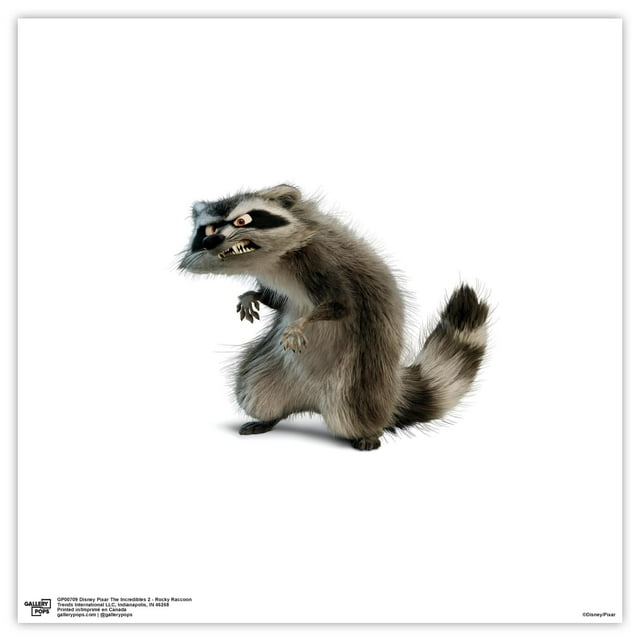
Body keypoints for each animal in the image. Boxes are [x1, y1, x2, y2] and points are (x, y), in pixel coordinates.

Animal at [179, 184, 488, 451]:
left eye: (243, 221)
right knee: (253, 386)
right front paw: (251, 295)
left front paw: (302, 322)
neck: (272, 259)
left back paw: (368, 431)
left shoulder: (319, 260)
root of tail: (312, 401)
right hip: (269, 367)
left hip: (359, 376)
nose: (211, 240)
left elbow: (341, 305)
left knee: (356, 411)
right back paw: (268, 417)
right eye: (208, 228)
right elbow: (276, 299)